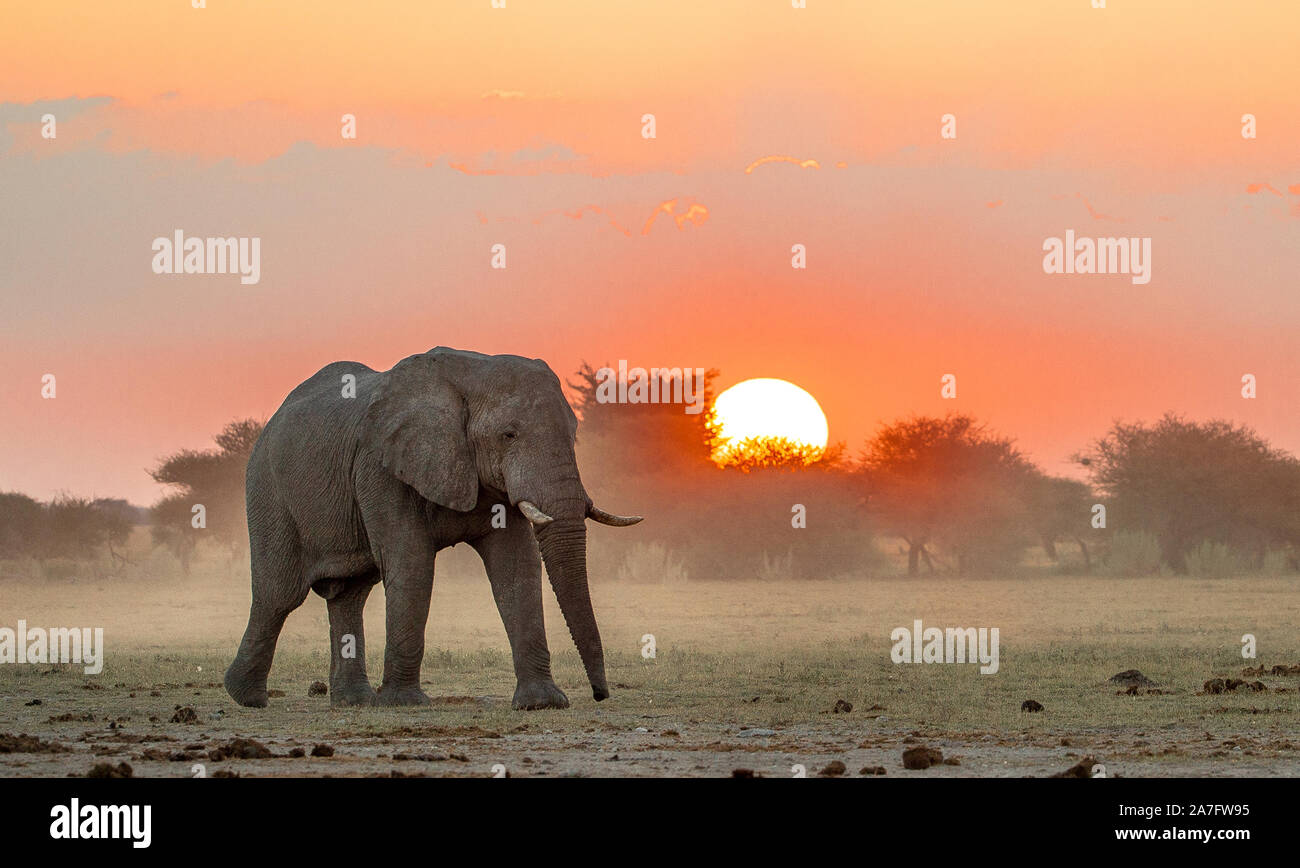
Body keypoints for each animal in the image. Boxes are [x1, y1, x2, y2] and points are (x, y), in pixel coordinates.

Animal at [223, 347, 641, 710]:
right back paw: (246, 697)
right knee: (279, 595)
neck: (470, 374)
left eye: (574, 435)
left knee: (350, 594)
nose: (600, 694)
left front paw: (541, 704)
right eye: (508, 434)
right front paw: (404, 703)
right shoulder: (381, 467)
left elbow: (516, 569)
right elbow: (412, 565)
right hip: (268, 492)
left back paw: (354, 702)